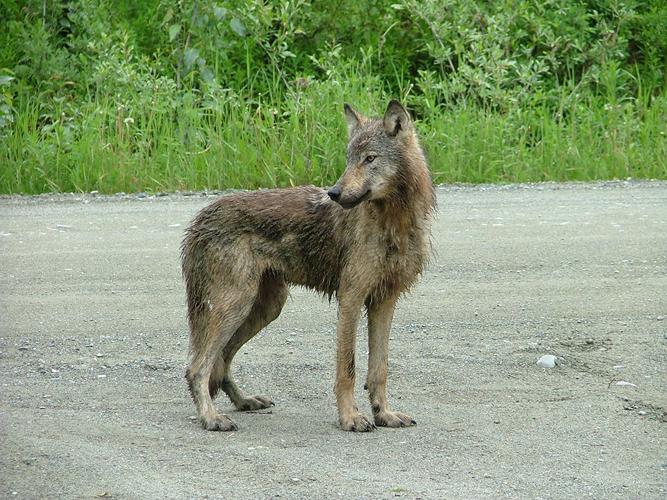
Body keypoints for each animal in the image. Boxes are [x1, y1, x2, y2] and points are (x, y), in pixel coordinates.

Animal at [181, 100, 435, 432]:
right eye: (349, 159)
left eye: (369, 159)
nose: (334, 193)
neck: (394, 222)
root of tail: (198, 220)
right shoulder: (351, 298)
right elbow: (348, 368)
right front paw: (350, 418)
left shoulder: (384, 301)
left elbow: (379, 369)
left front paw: (384, 414)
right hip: (235, 307)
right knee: (198, 367)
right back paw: (211, 418)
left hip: (265, 308)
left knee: (220, 361)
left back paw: (244, 401)